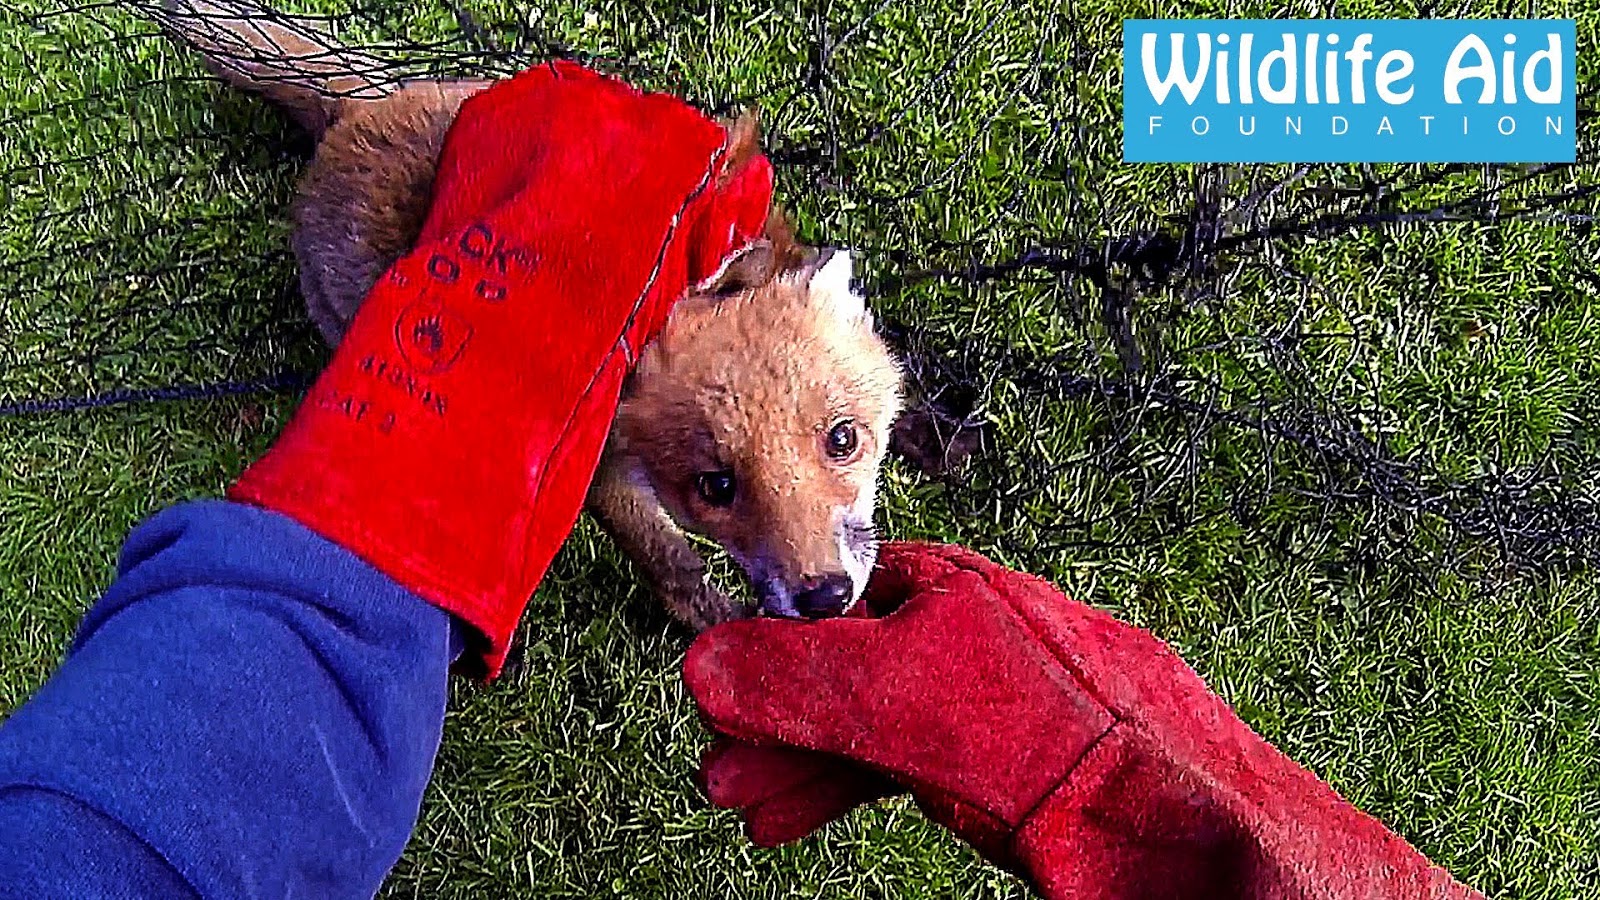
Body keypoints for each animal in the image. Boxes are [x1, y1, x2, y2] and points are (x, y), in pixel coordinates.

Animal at [151, 0, 905, 629]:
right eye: (716, 487)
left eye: (844, 439)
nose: (824, 597)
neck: (688, 264)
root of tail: (356, 111)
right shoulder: (598, 463)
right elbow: (667, 557)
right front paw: (707, 619)